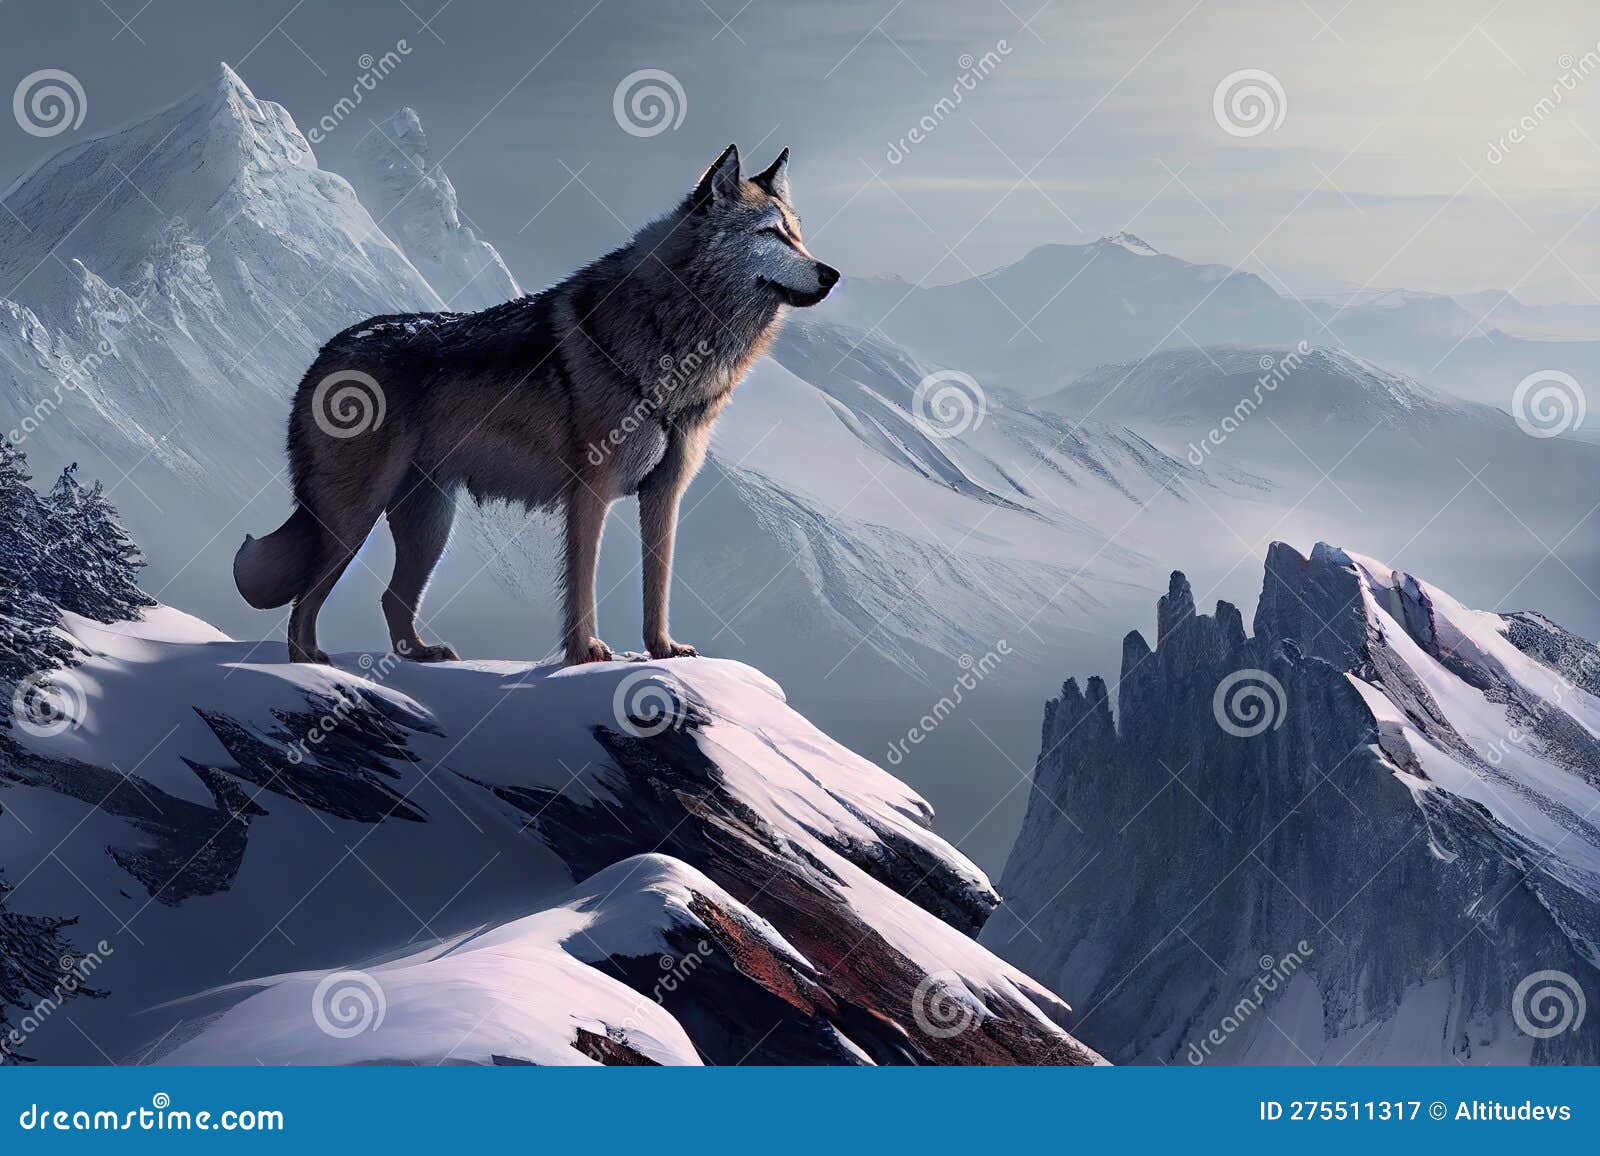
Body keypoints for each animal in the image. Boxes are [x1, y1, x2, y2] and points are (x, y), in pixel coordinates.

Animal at [234, 144, 837, 666]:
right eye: (771, 234)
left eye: (799, 236)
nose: (832, 273)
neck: (679, 344)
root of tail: (326, 348)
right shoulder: (590, 492)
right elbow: (582, 585)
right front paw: (585, 652)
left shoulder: (663, 496)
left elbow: (657, 589)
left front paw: (663, 651)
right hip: (354, 516)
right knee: (305, 599)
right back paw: (308, 662)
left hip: (428, 523)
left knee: (388, 598)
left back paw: (419, 654)